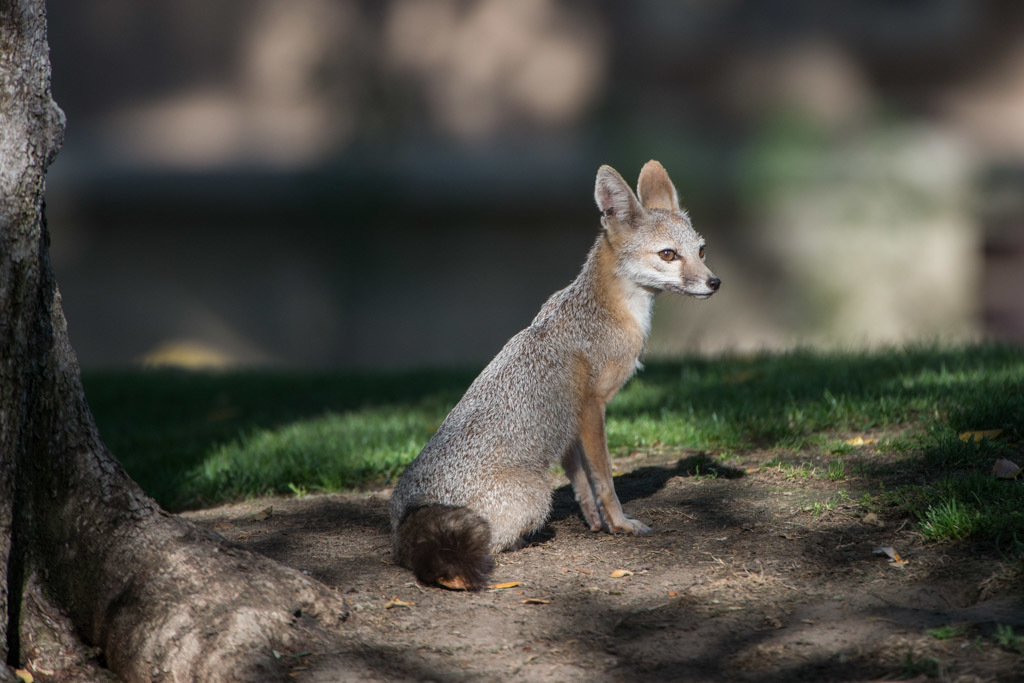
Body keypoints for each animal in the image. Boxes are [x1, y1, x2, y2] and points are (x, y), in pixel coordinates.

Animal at [389, 160, 720, 590]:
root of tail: (409, 516)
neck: (607, 311)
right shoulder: (593, 408)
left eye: (701, 250)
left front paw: (597, 525)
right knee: (491, 543)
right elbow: (605, 479)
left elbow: (581, 483)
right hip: (537, 495)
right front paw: (620, 524)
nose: (714, 282)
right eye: (668, 254)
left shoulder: (571, 422)